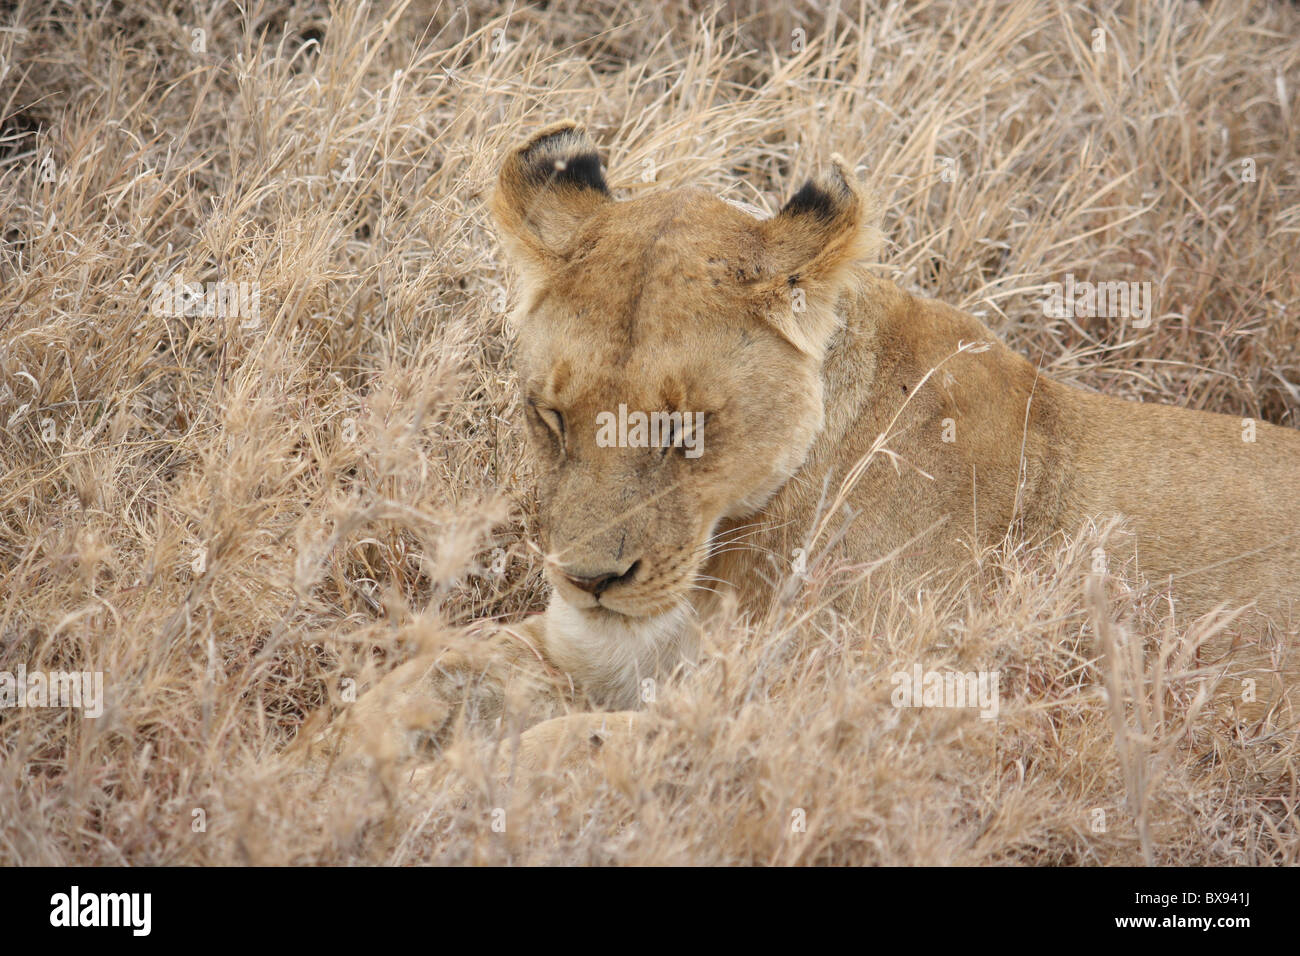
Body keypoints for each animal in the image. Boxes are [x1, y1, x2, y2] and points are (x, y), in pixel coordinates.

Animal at [341, 120, 1299, 772]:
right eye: (549, 417)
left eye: (686, 430)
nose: (590, 579)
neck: (728, 546)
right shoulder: (588, 645)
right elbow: (458, 662)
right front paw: (342, 753)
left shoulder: (843, 715)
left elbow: (573, 746)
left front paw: (448, 784)